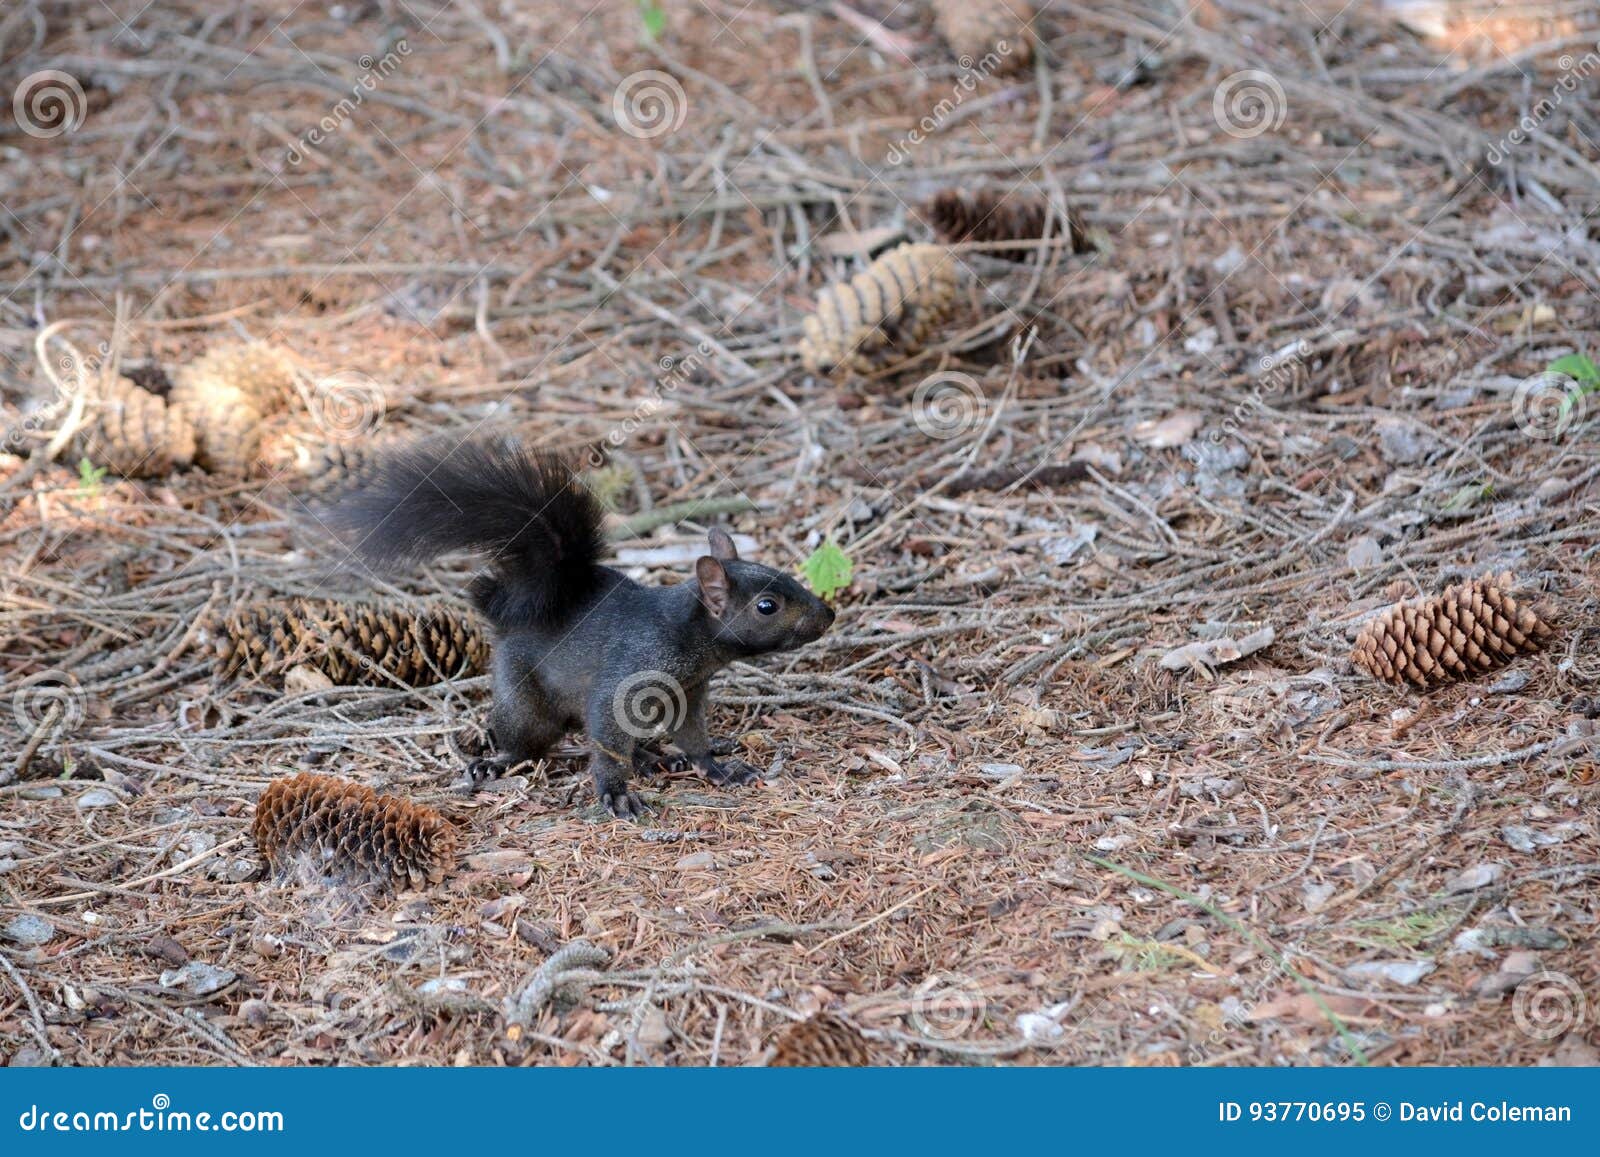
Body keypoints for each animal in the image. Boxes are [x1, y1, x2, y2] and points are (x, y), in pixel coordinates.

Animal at [325, 438, 836, 818]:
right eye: (767, 606)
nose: (828, 615)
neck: (688, 637)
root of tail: (512, 613)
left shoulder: (689, 691)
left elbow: (691, 735)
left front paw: (714, 765)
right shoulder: (629, 673)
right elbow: (607, 731)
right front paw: (616, 793)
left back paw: (653, 757)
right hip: (524, 701)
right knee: (532, 739)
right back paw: (497, 763)